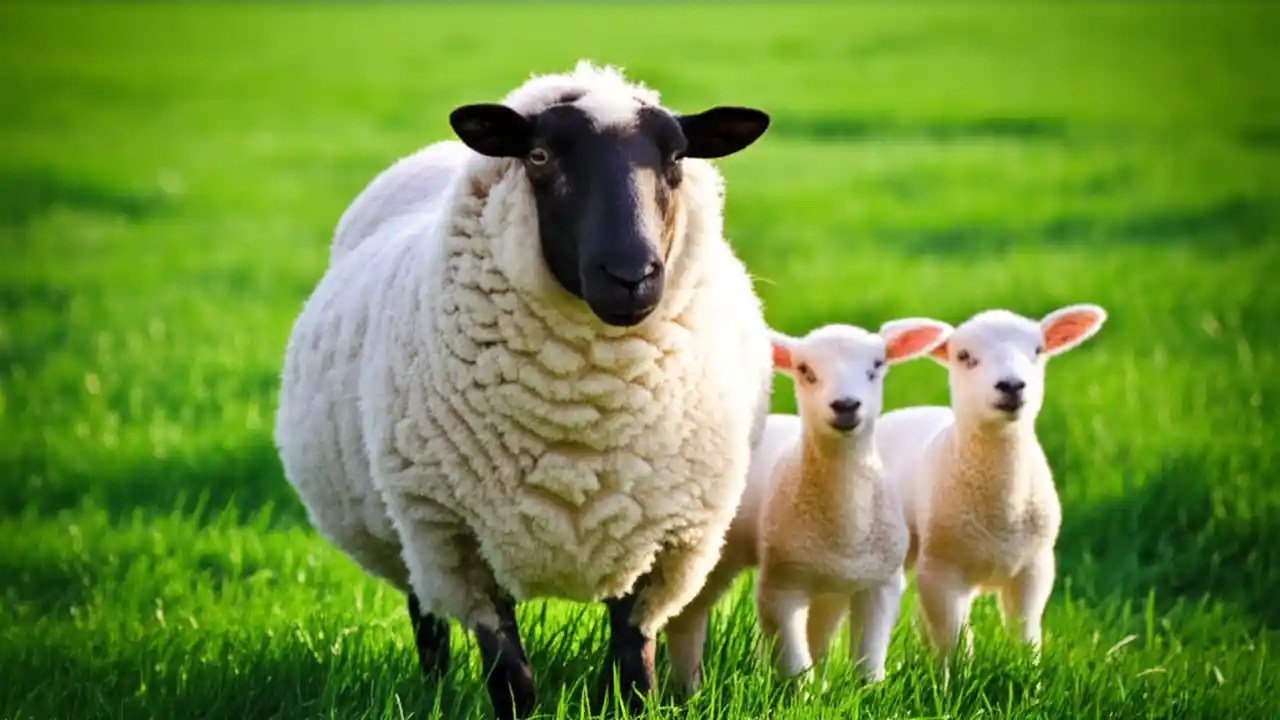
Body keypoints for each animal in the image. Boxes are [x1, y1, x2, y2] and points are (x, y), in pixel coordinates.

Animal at [273, 61, 773, 719]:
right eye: (538, 156)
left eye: (676, 159)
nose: (631, 276)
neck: (581, 429)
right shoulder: (457, 542)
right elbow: (513, 683)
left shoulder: (659, 545)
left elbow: (632, 676)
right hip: (413, 537)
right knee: (426, 619)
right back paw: (434, 691)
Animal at [665, 319, 953, 693]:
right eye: (805, 370)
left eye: (876, 366)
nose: (845, 405)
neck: (844, 528)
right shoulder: (781, 586)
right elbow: (795, 665)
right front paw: (801, 697)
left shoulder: (880, 583)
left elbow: (867, 663)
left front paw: (856, 694)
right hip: (713, 554)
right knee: (687, 616)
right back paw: (689, 689)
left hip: (827, 586)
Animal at [874, 305, 1108, 660]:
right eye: (963, 356)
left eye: (1038, 351)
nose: (1011, 385)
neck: (1003, 510)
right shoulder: (942, 573)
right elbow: (955, 643)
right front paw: (952, 676)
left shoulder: (1035, 569)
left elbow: (1025, 634)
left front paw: (1030, 673)